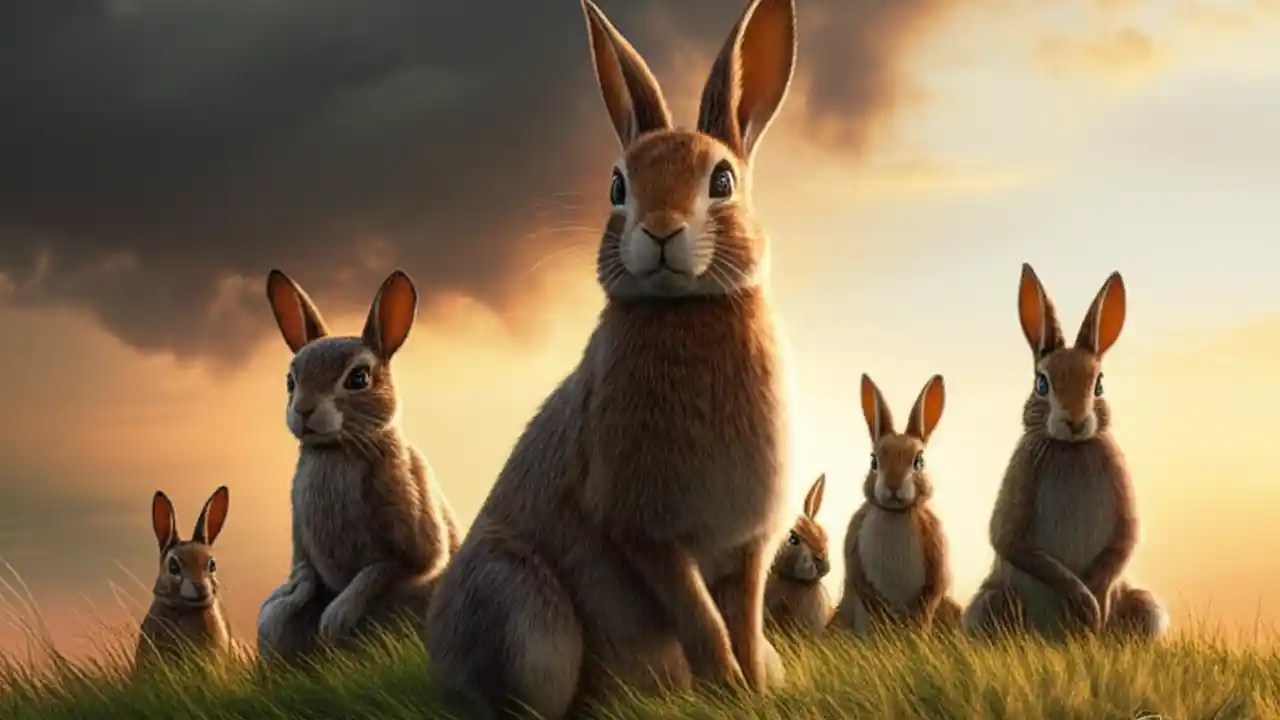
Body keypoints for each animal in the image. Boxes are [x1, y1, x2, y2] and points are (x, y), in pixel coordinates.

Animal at [256, 268, 461, 662]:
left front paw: (335, 618)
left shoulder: (414, 542)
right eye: (291, 380)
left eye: (358, 378)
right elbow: (306, 573)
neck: (337, 448)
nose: (303, 411)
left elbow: (383, 569)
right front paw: (291, 597)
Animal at [425, 1, 798, 717]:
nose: (659, 231)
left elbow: (742, 620)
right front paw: (728, 689)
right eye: (618, 186)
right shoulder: (641, 528)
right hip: (520, 614)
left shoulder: (749, 544)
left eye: (722, 180)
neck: (684, 309)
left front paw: (754, 692)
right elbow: (703, 621)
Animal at [830, 375, 962, 635]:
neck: (895, 513)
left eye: (919, 461)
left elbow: (925, 607)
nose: (893, 485)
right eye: (874, 461)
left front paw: (913, 638)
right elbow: (871, 601)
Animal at [962, 264, 1168, 641]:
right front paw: (1083, 599)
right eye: (1041, 384)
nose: (1075, 422)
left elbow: (1125, 540)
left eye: (1099, 384)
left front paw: (1094, 601)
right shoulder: (1020, 480)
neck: (1071, 448)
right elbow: (1011, 541)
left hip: (1146, 607)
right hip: (989, 603)